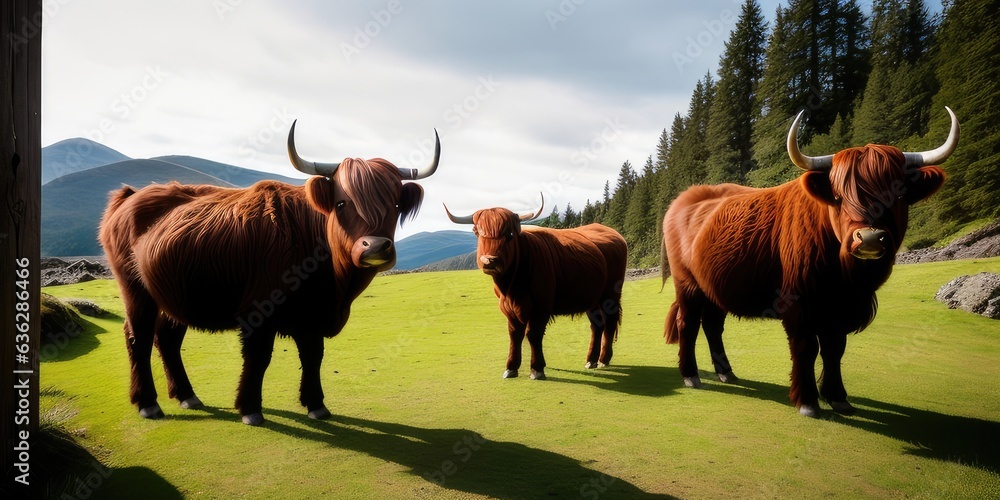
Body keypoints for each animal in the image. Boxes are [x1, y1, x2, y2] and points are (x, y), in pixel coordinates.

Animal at [98, 122, 439, 425]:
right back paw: (148, 403)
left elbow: (313, 355)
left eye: (395, 205)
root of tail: (131, 195)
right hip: (135, 289)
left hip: (175, 294)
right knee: (138, 337)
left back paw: (187, 395)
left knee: (166, 339)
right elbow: (259, 357)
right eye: (342, 203)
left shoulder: (311, 315)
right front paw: (250, 408)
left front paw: (316, 404)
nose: (375, 247)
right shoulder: (260, 310)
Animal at [445, 196, 628, 380]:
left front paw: (537, 368)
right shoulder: (508, 308)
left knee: (610, 322)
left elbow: (533, 334)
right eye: (477, 231)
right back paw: (591, 360)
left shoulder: (541, 306)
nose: (489, 260)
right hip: (592, 298)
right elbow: (515, 335)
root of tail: (611, 232)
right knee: (597, 325)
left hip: (610, 294)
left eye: (510, 234)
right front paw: (511, 367)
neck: (511, 287)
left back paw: (604, 359)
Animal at [661, 107, 958, 417]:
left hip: (715, 286)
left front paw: (838, 397)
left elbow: (834, 348)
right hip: (688, 284)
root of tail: (686, 198)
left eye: (898, 193)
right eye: (839, 196)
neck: (847, 280)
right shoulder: (798, 302)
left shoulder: (840, 310)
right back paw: (691, 375)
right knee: (688, 323)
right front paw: (807, 401)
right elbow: (806, 347)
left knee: (712, 325)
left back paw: (726, 372)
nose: (869, 238)